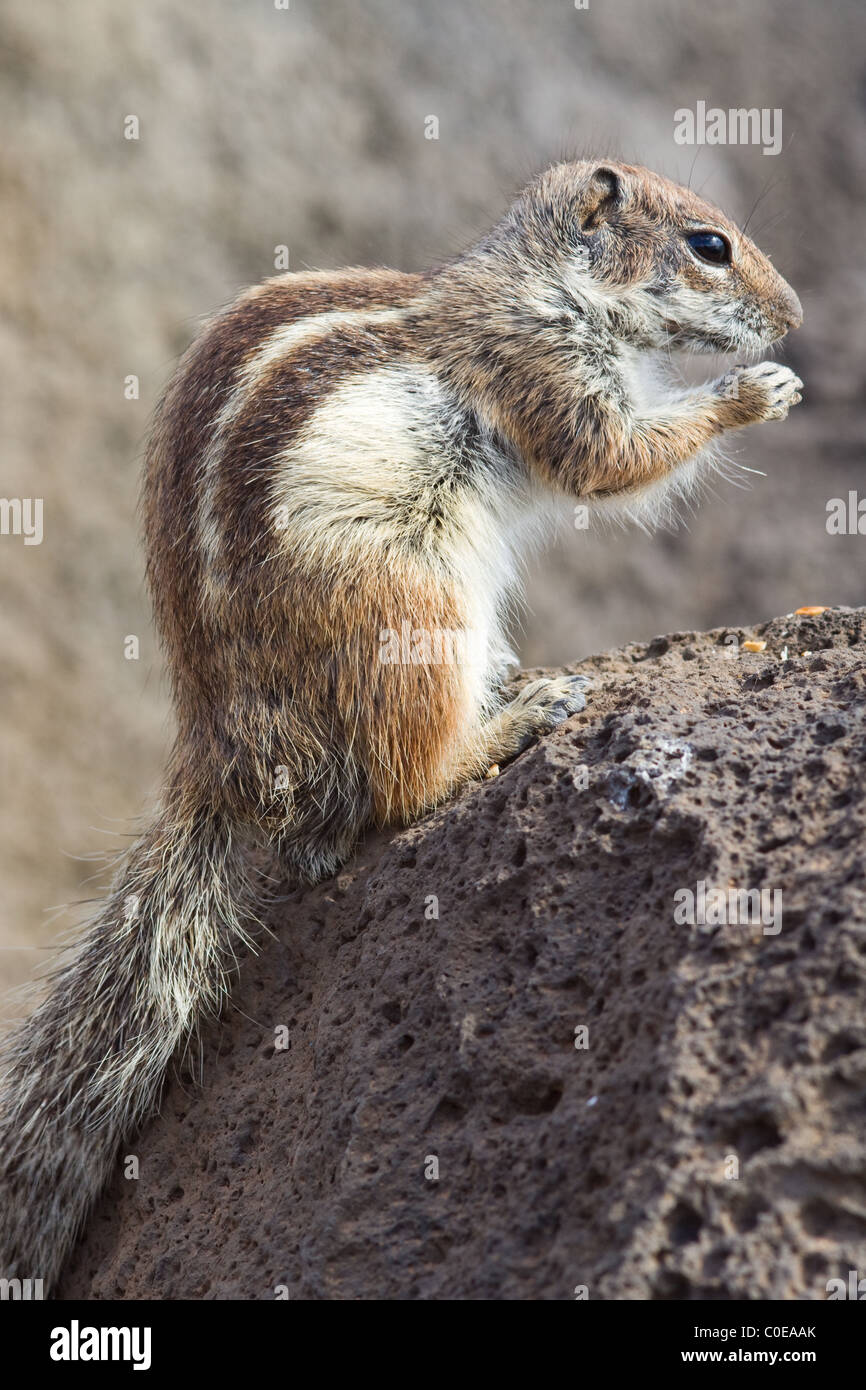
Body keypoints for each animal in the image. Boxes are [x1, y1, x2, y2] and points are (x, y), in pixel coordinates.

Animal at [0, 160, 802, 1290]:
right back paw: (515, 719)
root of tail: (222, 753)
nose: (796, 318)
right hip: (411, 612)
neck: (542, 277)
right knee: (399, 788)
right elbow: (608, 457)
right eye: (709, 245)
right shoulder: (543, 367)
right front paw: (754, 393)